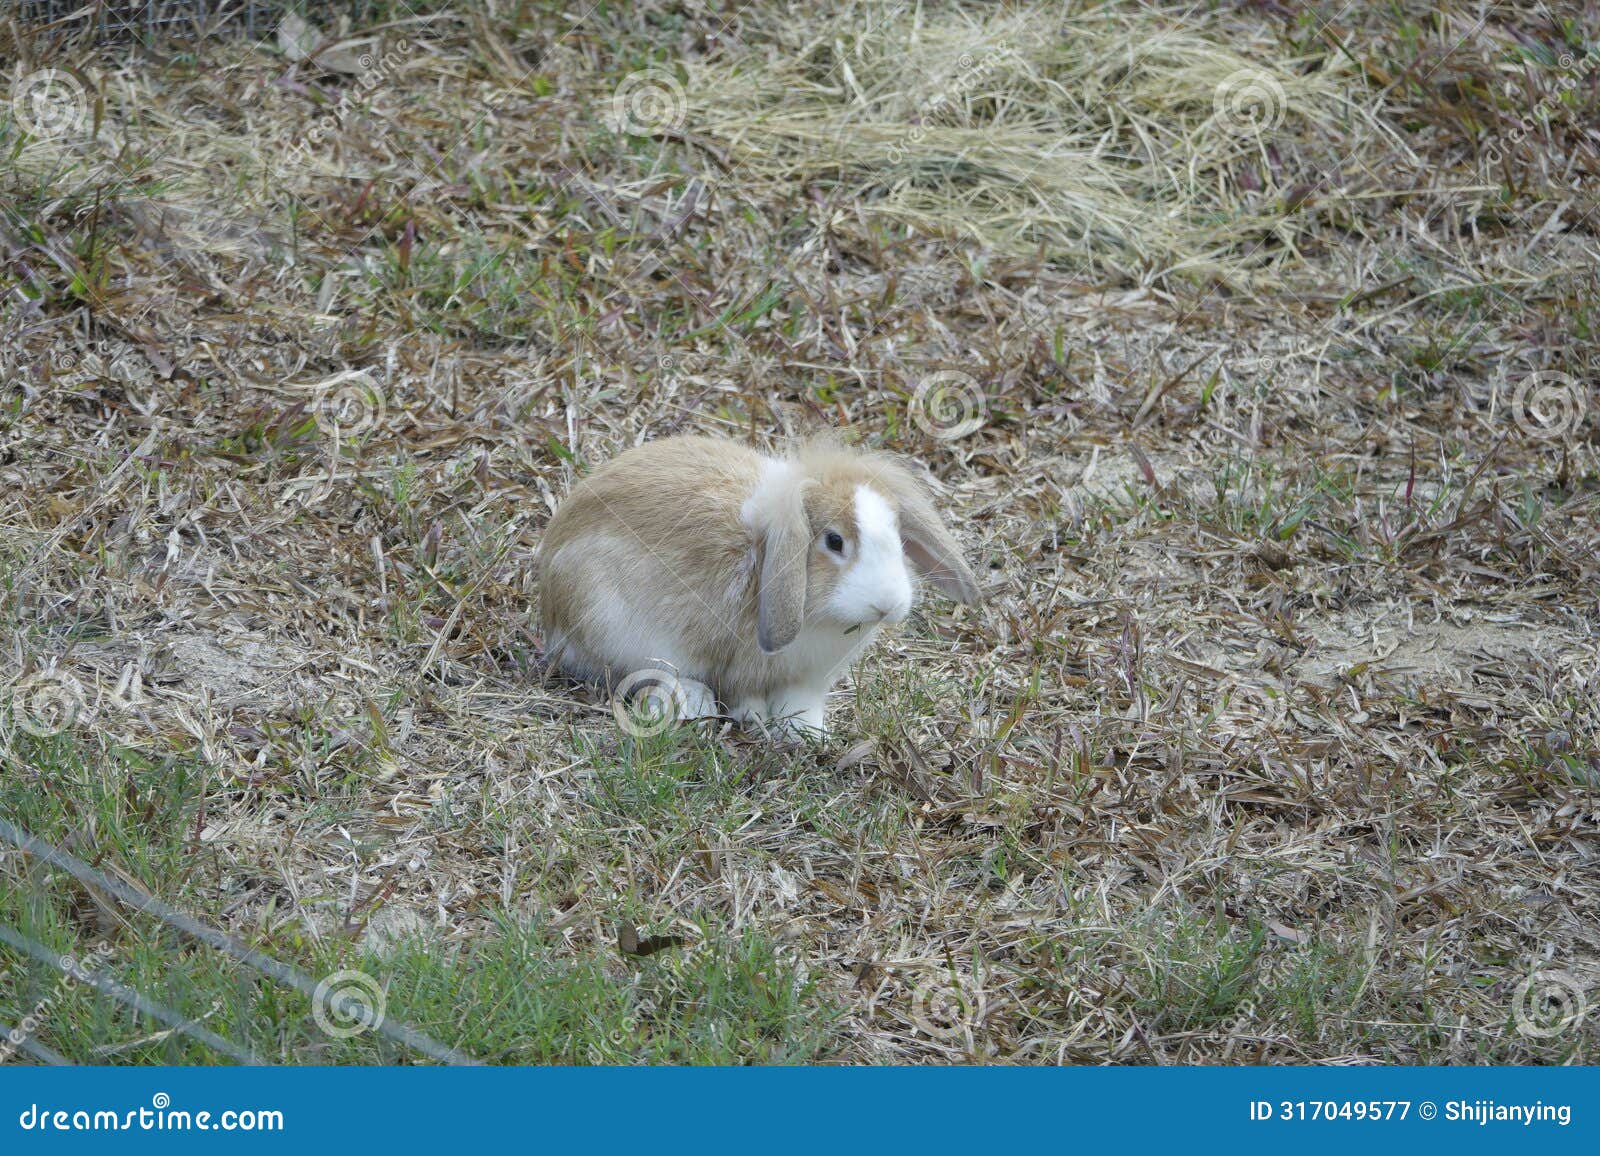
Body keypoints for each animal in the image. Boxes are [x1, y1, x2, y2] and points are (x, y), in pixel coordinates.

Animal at [538, 434, 981, 735]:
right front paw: (755, 719)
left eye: (897, 533)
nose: (887, 604)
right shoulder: (742, 666)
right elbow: (742, 694)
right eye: (834, 541)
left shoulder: (807, 679)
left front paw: (807, 733)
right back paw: (691, 701)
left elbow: (800, 703)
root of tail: (551, 605)